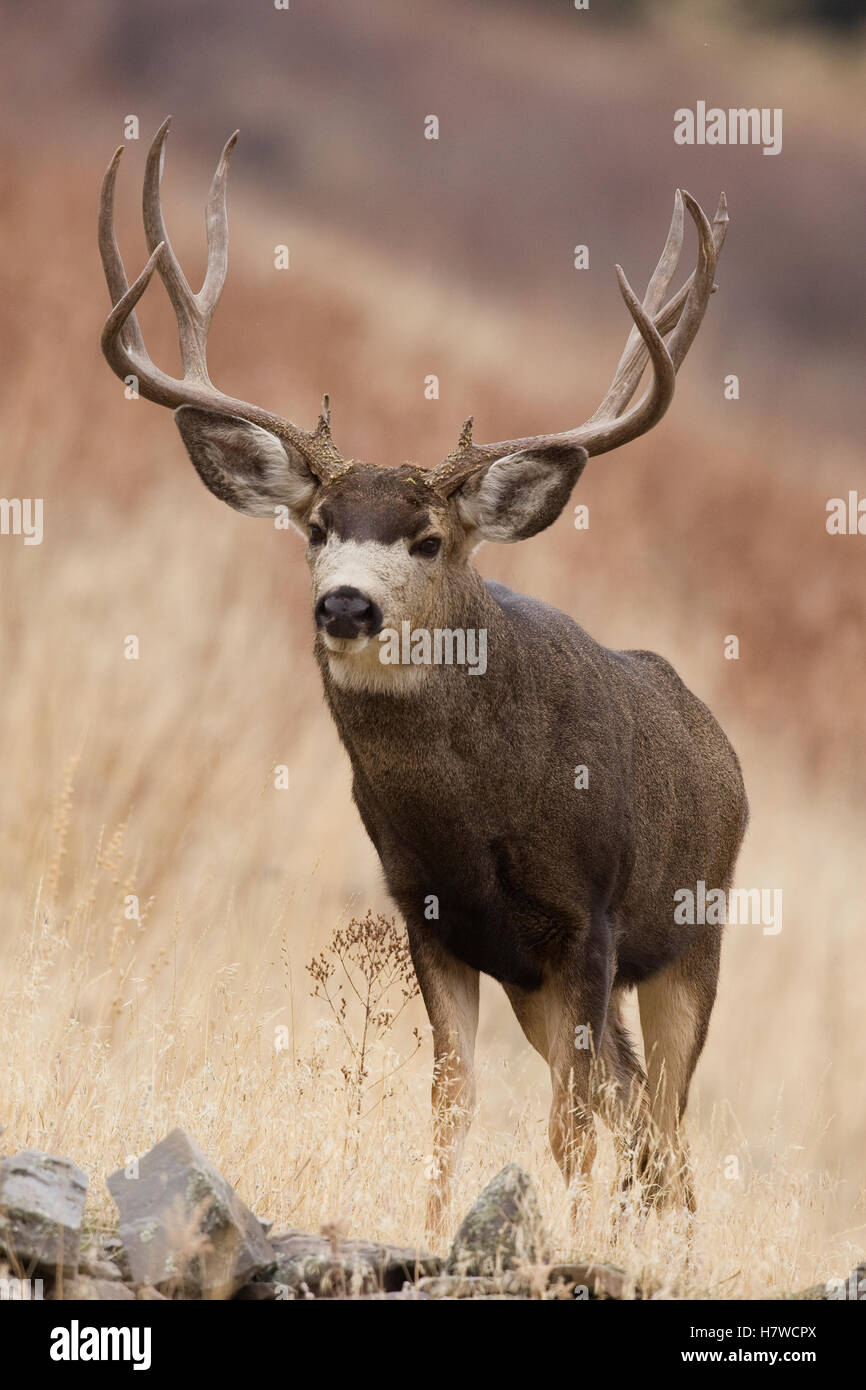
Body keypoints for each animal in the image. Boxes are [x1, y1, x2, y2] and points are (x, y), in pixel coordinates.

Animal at [99, 120, 748, 1237]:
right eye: (317, 526)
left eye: (430, 538)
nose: (347, 606)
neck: (475, 811)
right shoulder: (433, 918)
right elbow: (451, 1102)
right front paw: (443, 1229)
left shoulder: (589, 920)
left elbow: (570, 1124)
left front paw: (559, 1244)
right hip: (548, 981)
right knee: (640, 1119)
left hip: (690, 941)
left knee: (661, 1130)